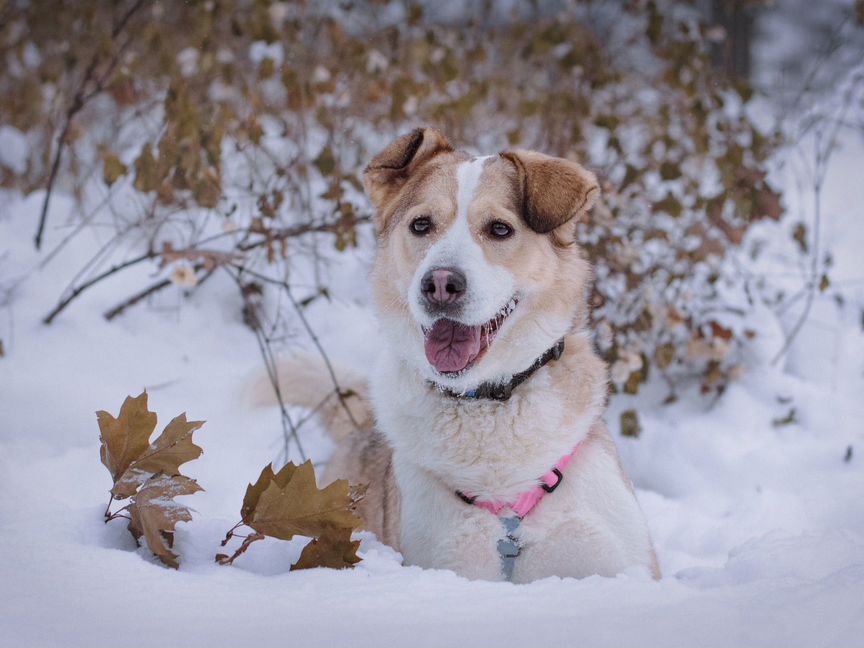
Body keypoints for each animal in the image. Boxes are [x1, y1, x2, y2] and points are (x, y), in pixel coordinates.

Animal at [274, 128, 660, 584]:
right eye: (421, 225)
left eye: (499, 229)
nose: (440, 284)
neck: (488, 404)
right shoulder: (445, 558)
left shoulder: (612, 559)